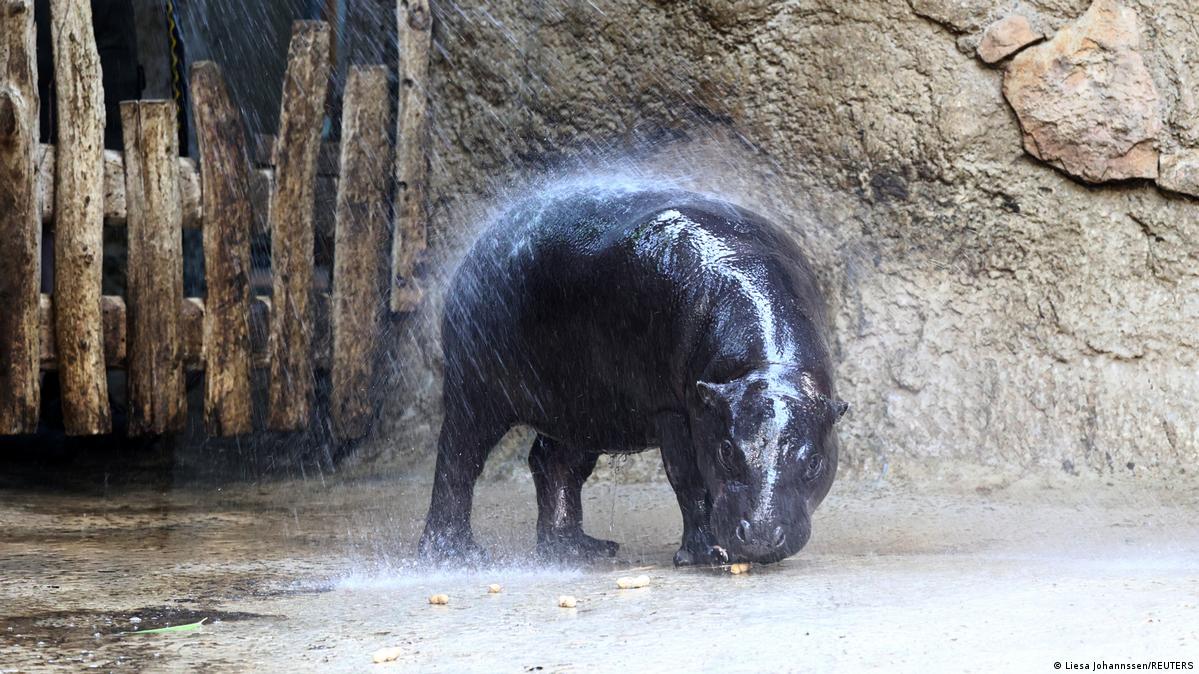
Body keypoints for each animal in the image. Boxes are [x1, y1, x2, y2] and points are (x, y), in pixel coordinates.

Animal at [419, 183, 848, 566]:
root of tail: (481, 243)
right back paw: (455, 556)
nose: (759, 536)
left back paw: (576, 549)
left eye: (814, 462)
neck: (767, 366)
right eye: (727, 450)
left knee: (553, 462)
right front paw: (709, 555)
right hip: (477, 387)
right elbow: (688, 478)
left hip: (583, 405)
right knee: (458, 460)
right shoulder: (672, 410)